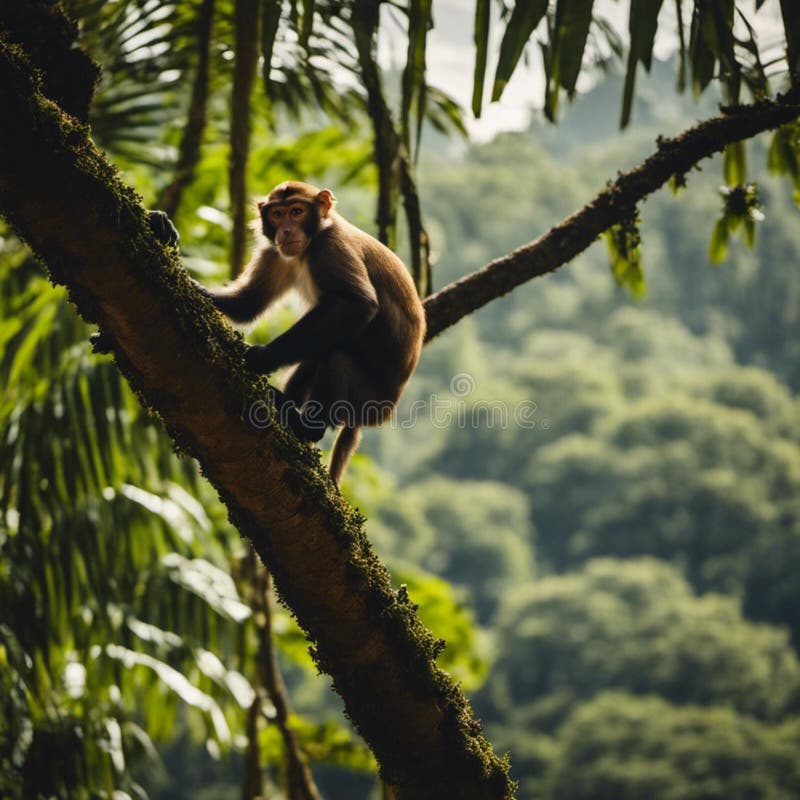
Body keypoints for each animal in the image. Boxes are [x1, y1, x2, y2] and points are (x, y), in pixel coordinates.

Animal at [191, 181, 426, 485]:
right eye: (277, 214)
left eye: (297, 211)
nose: (286, 231)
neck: (314, 239)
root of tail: (382, 414)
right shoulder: (274, 252)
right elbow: (248, 304)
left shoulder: (330, 248)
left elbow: (358, 304)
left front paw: (261, 359)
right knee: (318, 353)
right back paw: (286, 406)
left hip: (368, 400)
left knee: (336, 356)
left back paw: (307, 427)